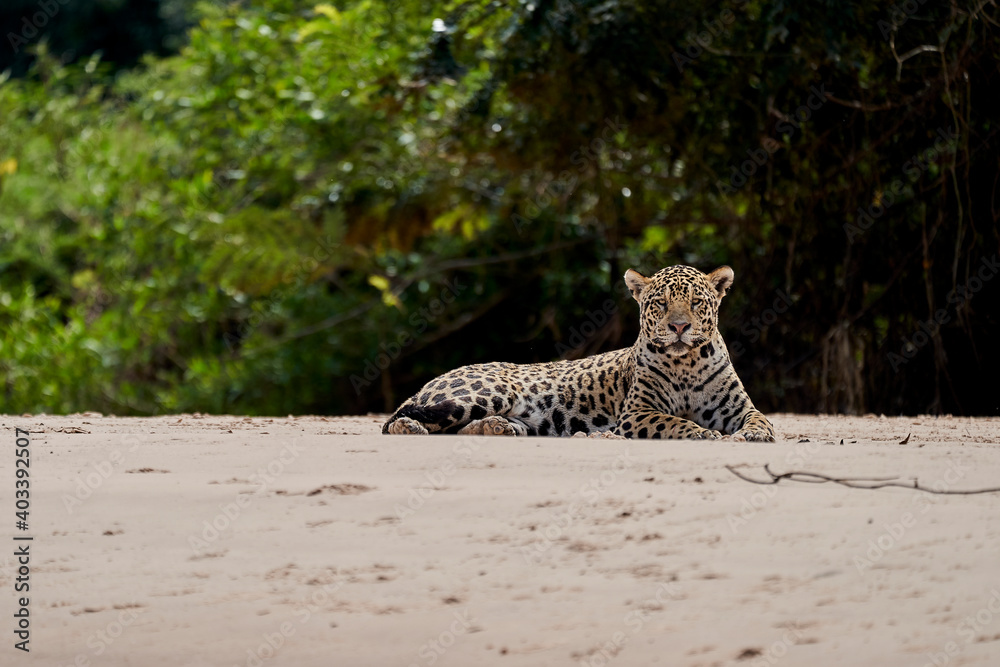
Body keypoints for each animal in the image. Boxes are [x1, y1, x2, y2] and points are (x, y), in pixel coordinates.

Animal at [382, 264, 775, 441]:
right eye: (661, 304)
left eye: (696, 303)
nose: (679, 327)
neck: (687, 363)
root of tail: (434, 380)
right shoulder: (638, 412)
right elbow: (674, 421)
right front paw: (702, 433)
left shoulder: (740, 408)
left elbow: (761, 419)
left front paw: (755, 435)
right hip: (488, 391)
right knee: (395, 422)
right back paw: (411, 427)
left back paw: (496, 428)